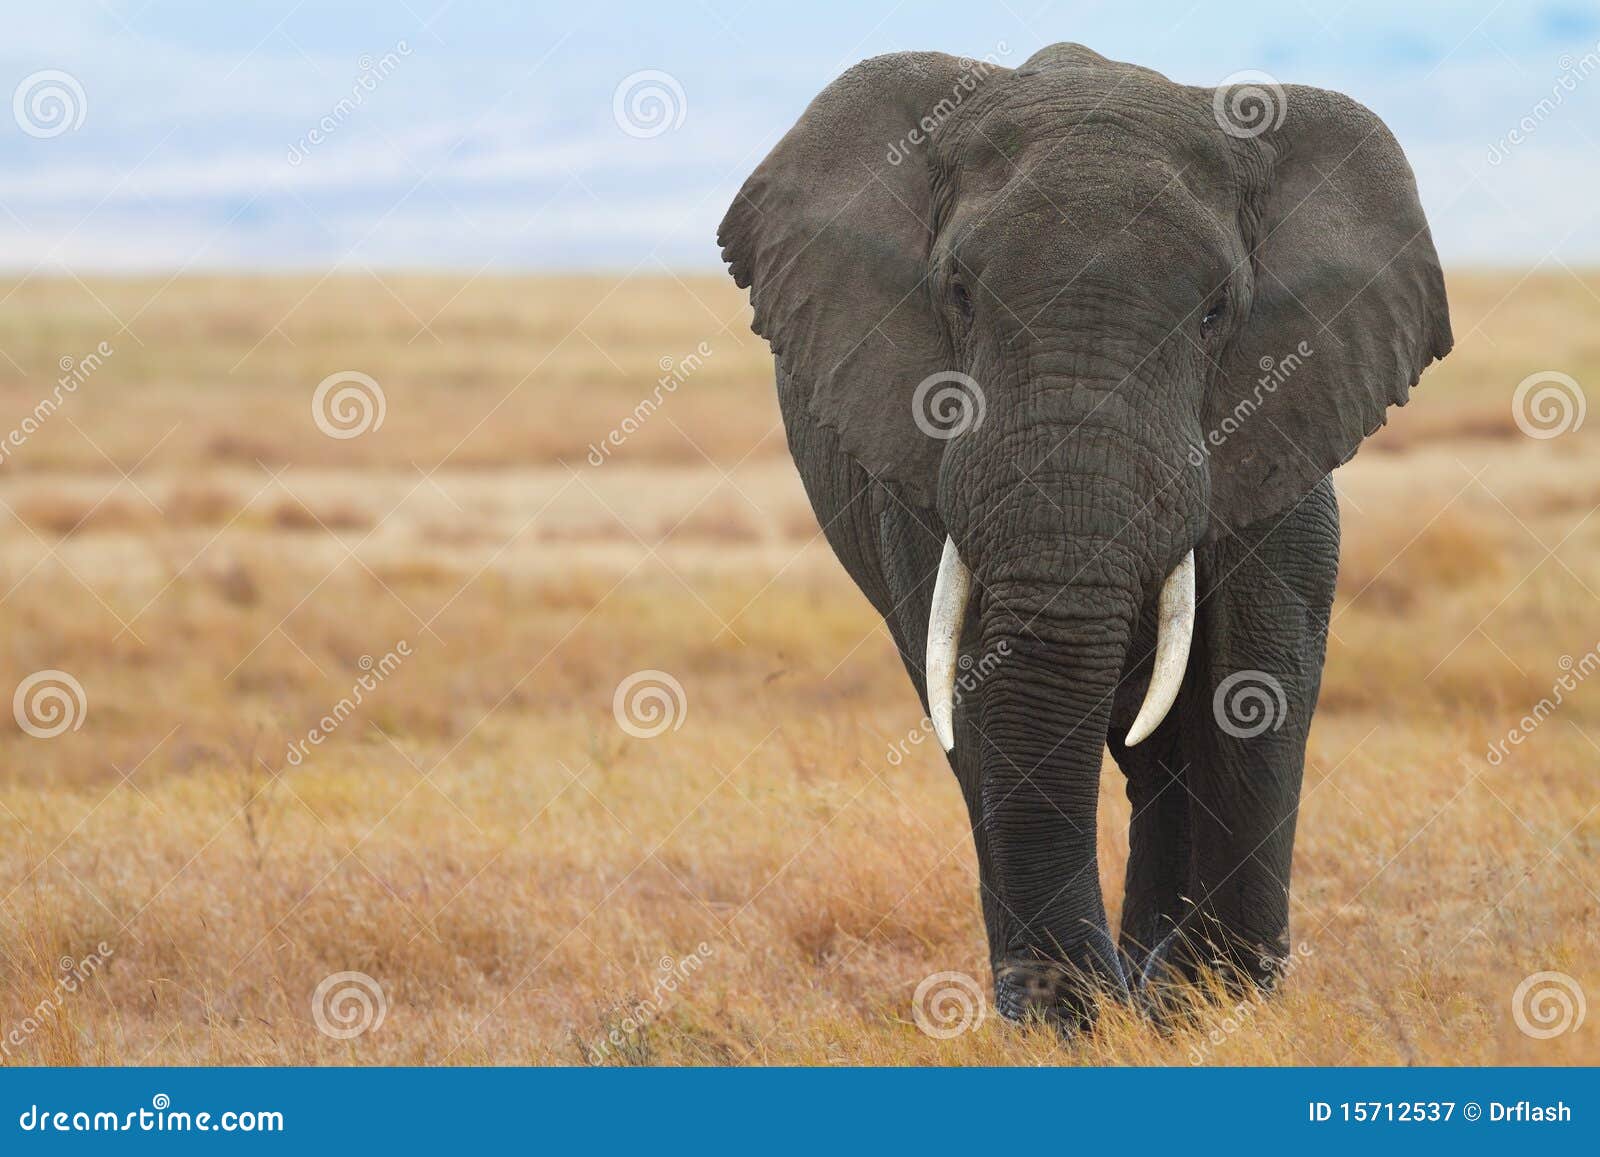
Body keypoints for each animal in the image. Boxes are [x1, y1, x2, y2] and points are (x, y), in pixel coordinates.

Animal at [717, 43, 1451, 1027]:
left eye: (1217, 312)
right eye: (957, 294)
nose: (1096, 999)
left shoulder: (1288, 409)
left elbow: (1258, 671)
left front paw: (1215, 1000)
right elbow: (979, 676)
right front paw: (1073, 1019)